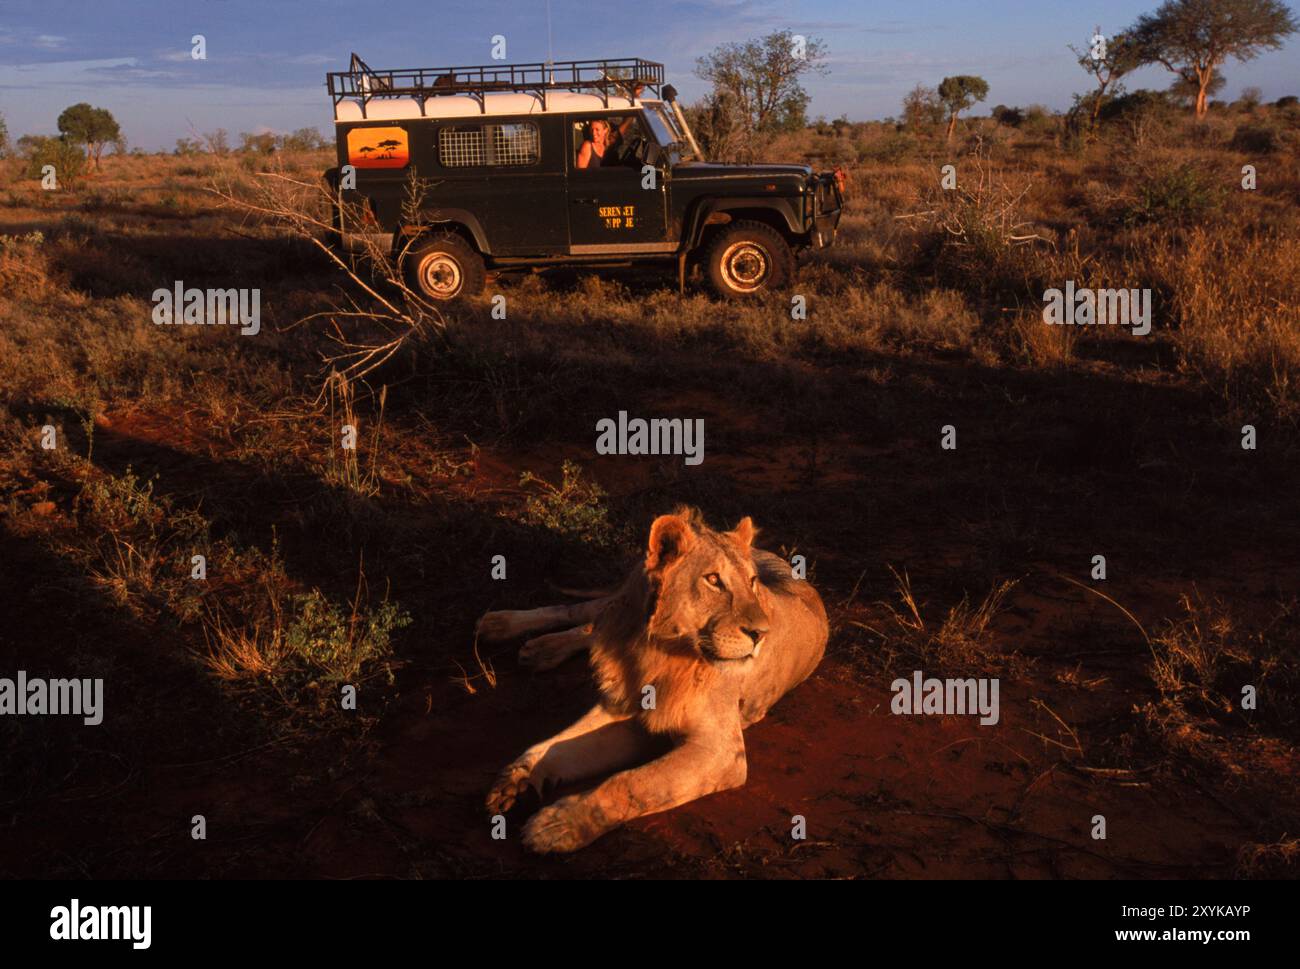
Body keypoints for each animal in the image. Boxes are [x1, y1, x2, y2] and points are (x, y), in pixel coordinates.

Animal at [477, 507, 828, 853]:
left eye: (752, 582)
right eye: (714, 580)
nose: (760, 634)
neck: (653, 650)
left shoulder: (721, 751)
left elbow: (628, 782)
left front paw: (556, 824)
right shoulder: (621, 708)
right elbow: (551, 744)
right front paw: (517, 779)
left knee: (590, 624)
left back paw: (537, 648)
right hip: (622, 598)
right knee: (583, 614)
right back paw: (504, 626)